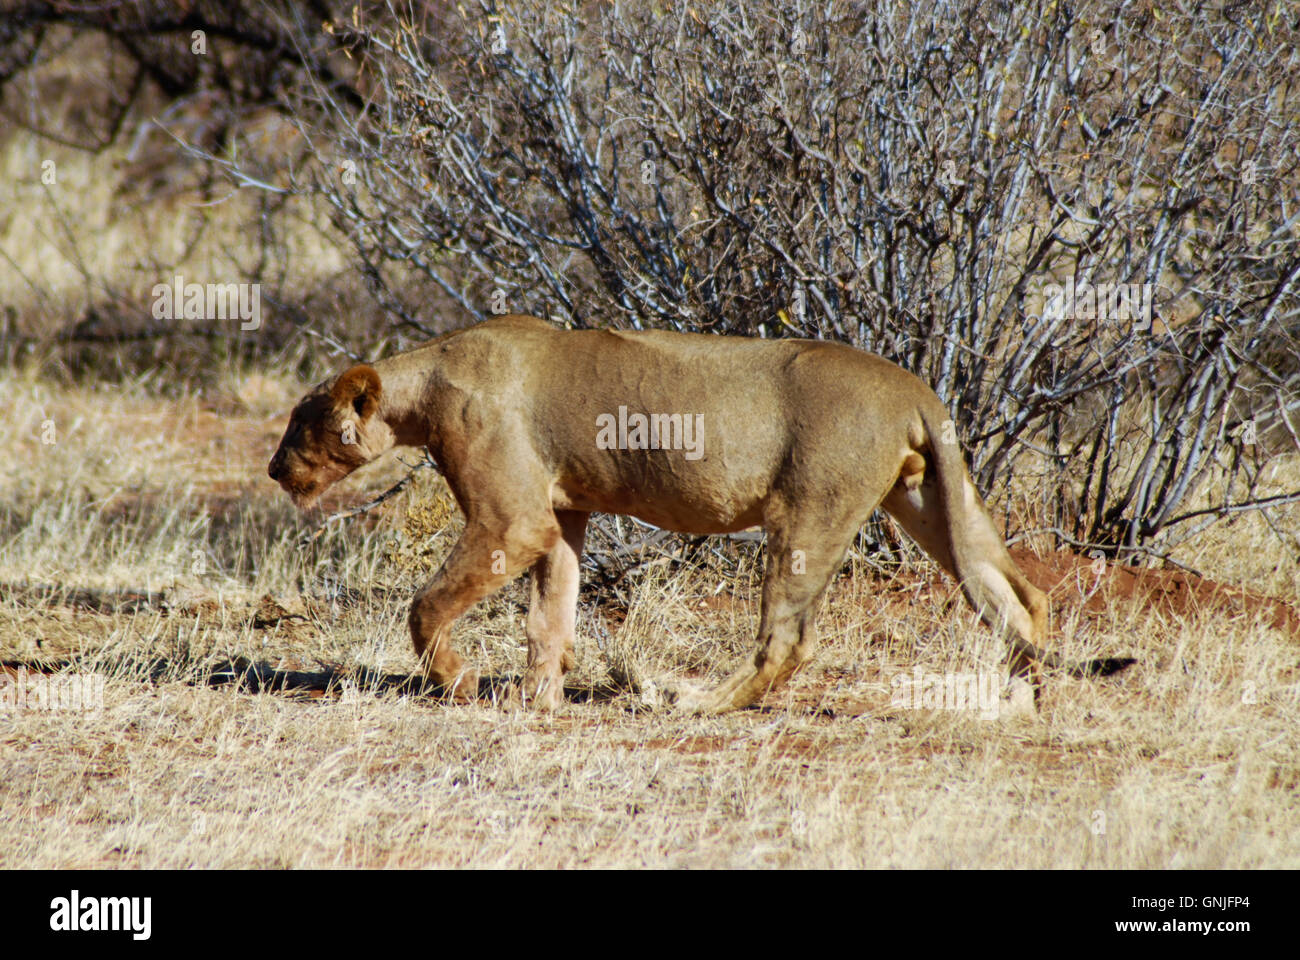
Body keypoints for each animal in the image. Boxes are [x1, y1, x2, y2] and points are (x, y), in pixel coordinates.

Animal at [268, 314, 1134, 713]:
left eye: (303, 425)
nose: (274, 469)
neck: (424, 384)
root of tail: (916, 388)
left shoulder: (512, 519)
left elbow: (426, 608)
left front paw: (461, 682)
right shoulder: (562, 518)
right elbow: (552, 615)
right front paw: (537, 700)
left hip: (806, 515)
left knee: (787, 642)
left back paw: (696, 703)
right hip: (930, 502)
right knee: (1023, 597)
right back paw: (1021, 702)